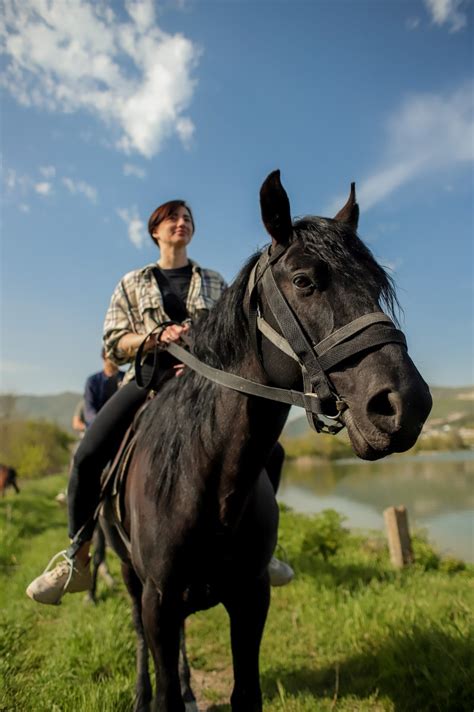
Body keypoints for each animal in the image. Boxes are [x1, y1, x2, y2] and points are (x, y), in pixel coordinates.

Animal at [101, 170, 434, 708]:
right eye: (303, 281)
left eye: (377, 287)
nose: (407, 405)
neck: (204, 480)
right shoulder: (158, 599)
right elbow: (161, 676)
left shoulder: (251, 597)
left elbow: (245, 693)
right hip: (130, 575)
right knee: (138, 635)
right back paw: (140, 692)